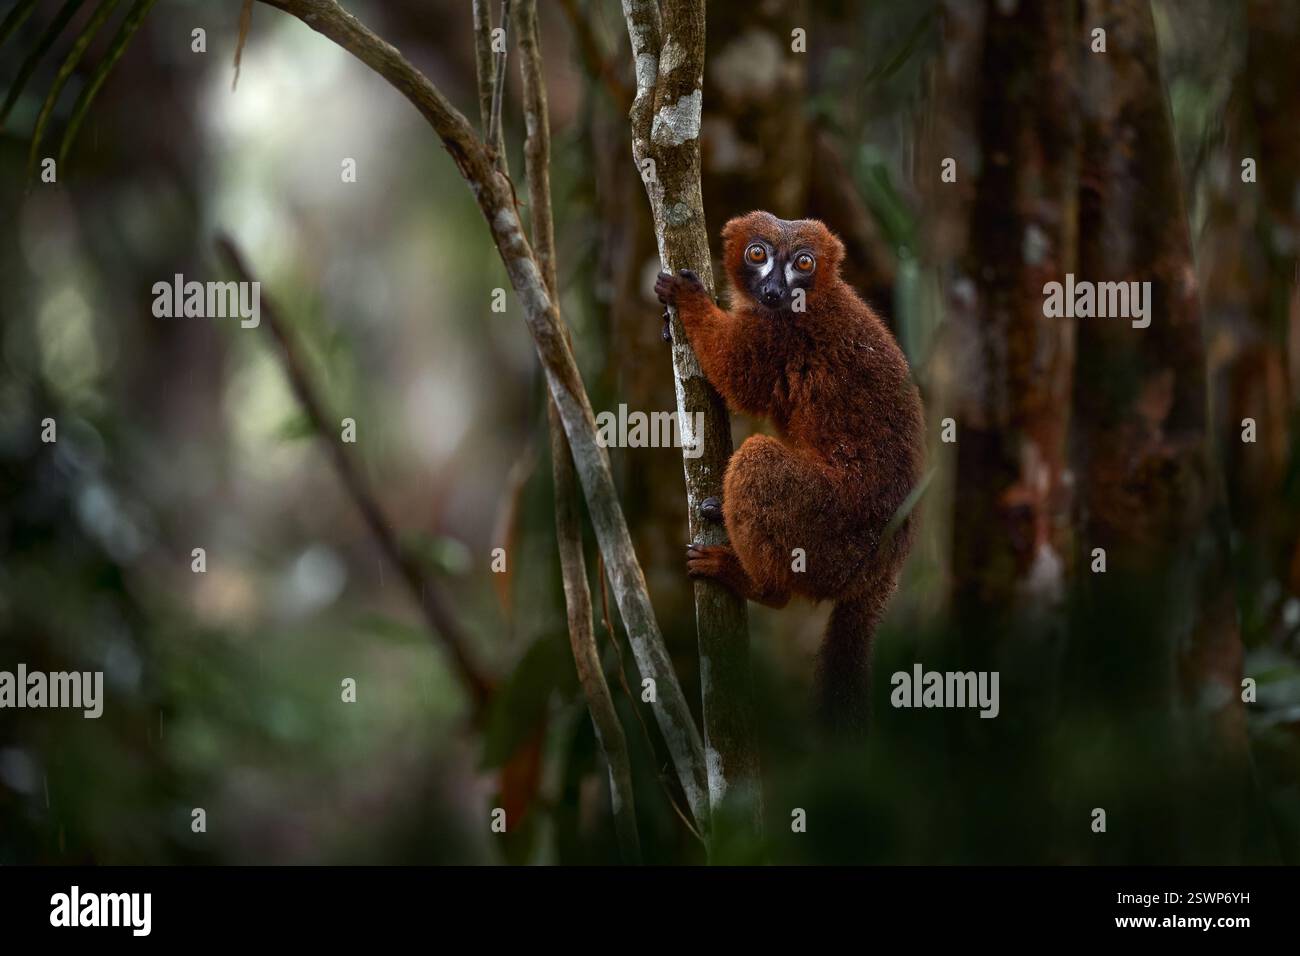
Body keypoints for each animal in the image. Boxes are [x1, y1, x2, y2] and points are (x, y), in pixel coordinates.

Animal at [654, 211, 925, 736]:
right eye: (758, 254)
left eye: (803, 263)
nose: (776, 290)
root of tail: (886, 564)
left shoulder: (782, 335)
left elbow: (738, 376)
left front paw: (688, 300)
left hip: (831, 532)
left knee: (759, 461)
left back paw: (758, 586)